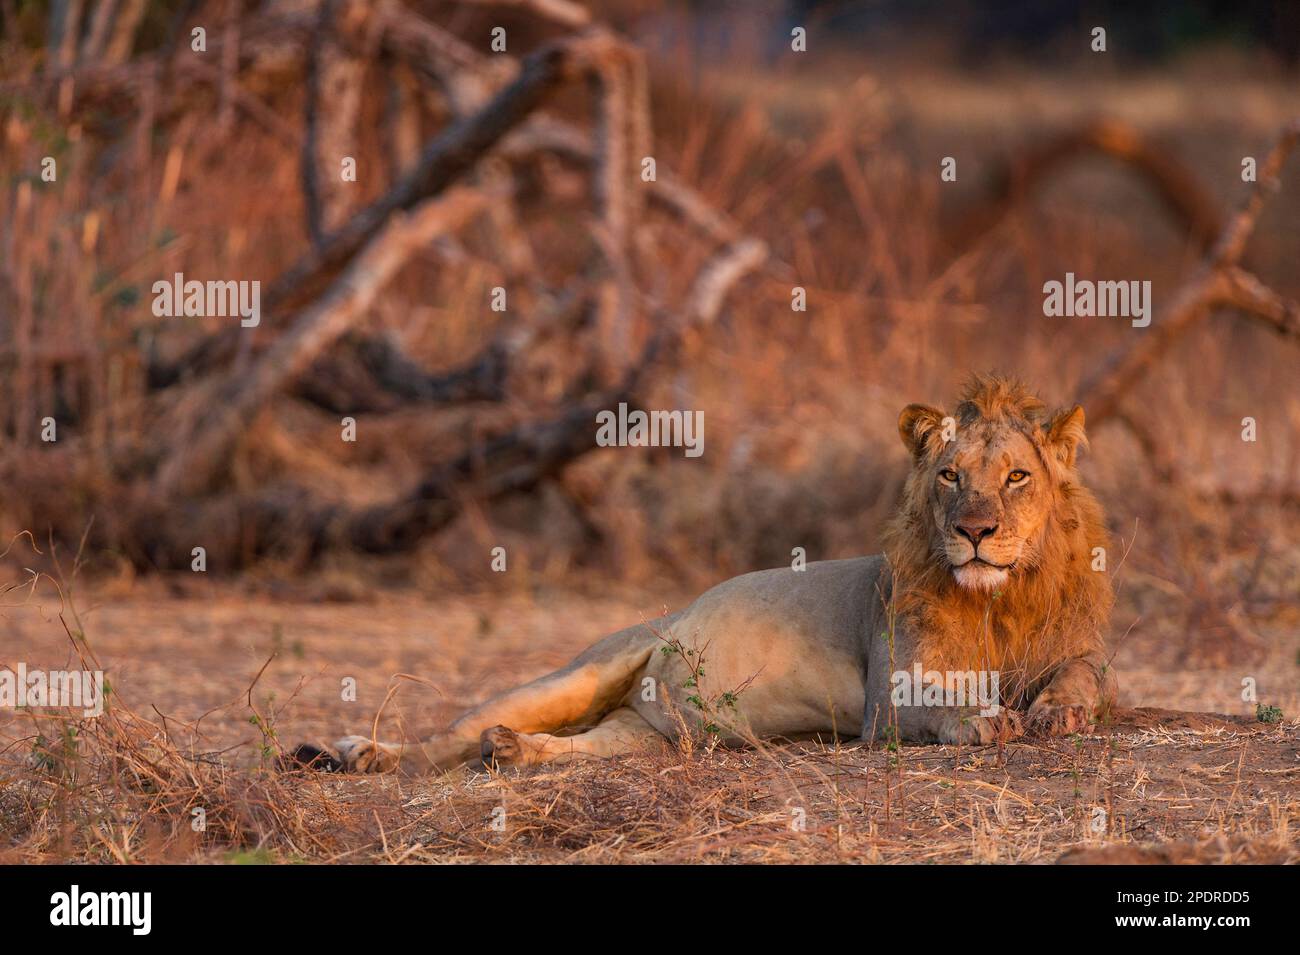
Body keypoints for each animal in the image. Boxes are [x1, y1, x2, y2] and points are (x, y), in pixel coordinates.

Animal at [297, 374, 1116, 774]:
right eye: (950, 476)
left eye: (1016, 477)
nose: (974, 532)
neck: (1000, 599)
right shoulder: (891, 692)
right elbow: (942, 703)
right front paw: (984, 718)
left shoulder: (1076, 650)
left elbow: (1083, 679)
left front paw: (1058, 712)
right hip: (578, 673)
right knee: (447, 737)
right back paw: (358, 753)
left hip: (647, 732)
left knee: (574, 745)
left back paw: (515, 751)